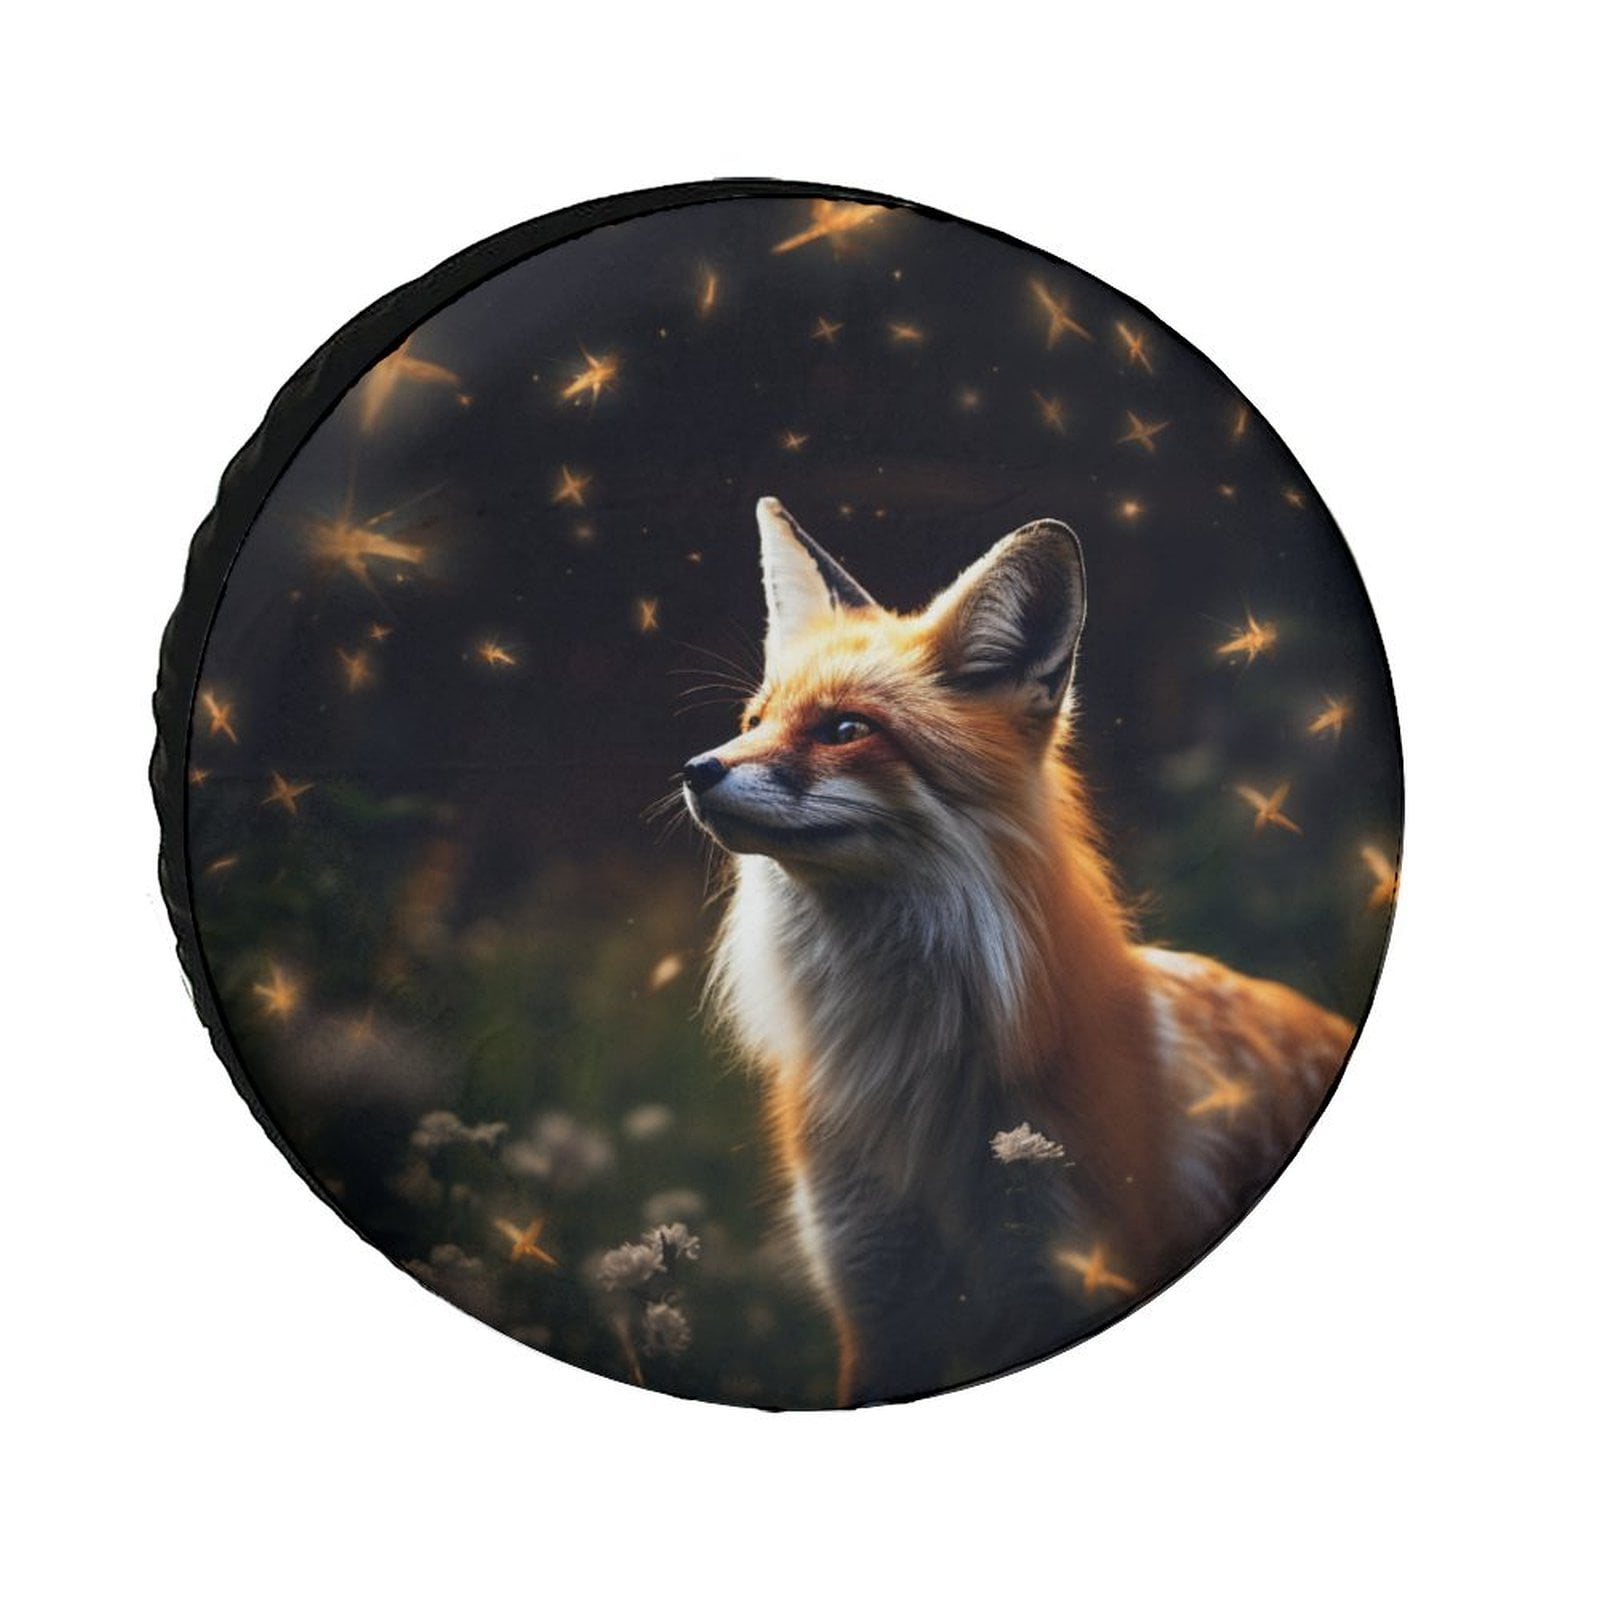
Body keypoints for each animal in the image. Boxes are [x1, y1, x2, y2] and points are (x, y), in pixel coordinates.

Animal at [682, 497, 1354, 1406]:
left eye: (846, 729)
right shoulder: (874, 1302)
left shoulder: (1069, 1273)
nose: (695, 769)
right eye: (754, 723)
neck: (911, 1071)